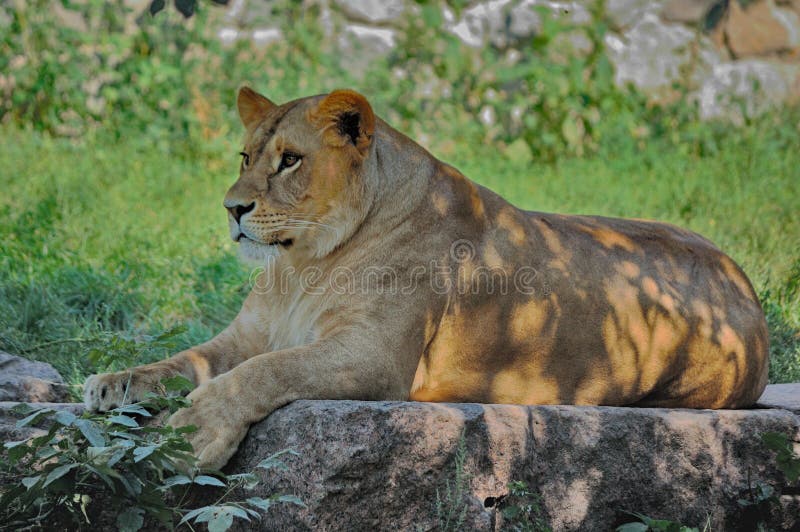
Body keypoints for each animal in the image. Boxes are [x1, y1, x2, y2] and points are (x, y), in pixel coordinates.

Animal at [84, 87, 769, 469]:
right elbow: (185, 360)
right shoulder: (245, 335)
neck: (302, 264)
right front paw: (114, 383)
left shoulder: (373, 357)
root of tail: (747, 287)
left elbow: (264, 372)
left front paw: (193, 432)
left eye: (291, 161)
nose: (232, 208)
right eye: (246, 157)